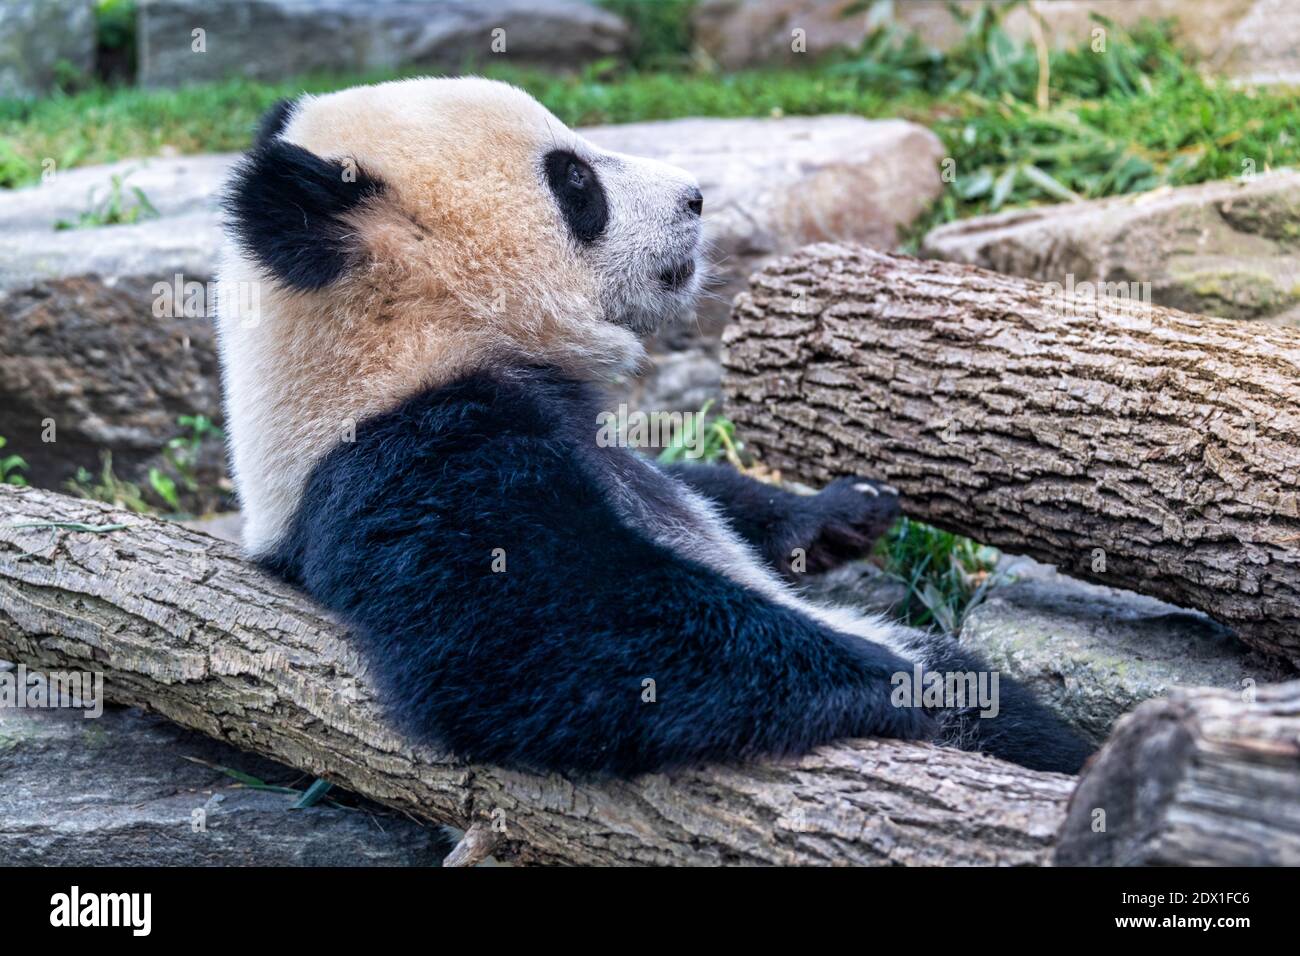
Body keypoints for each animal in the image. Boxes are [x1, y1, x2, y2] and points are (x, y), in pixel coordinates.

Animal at [217, 77, 1091, 776]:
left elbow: (696, 486)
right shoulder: (408, 455)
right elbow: (540, 635)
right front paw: (890, 679)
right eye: (575, 184)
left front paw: (844, 509)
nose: (695, 198)